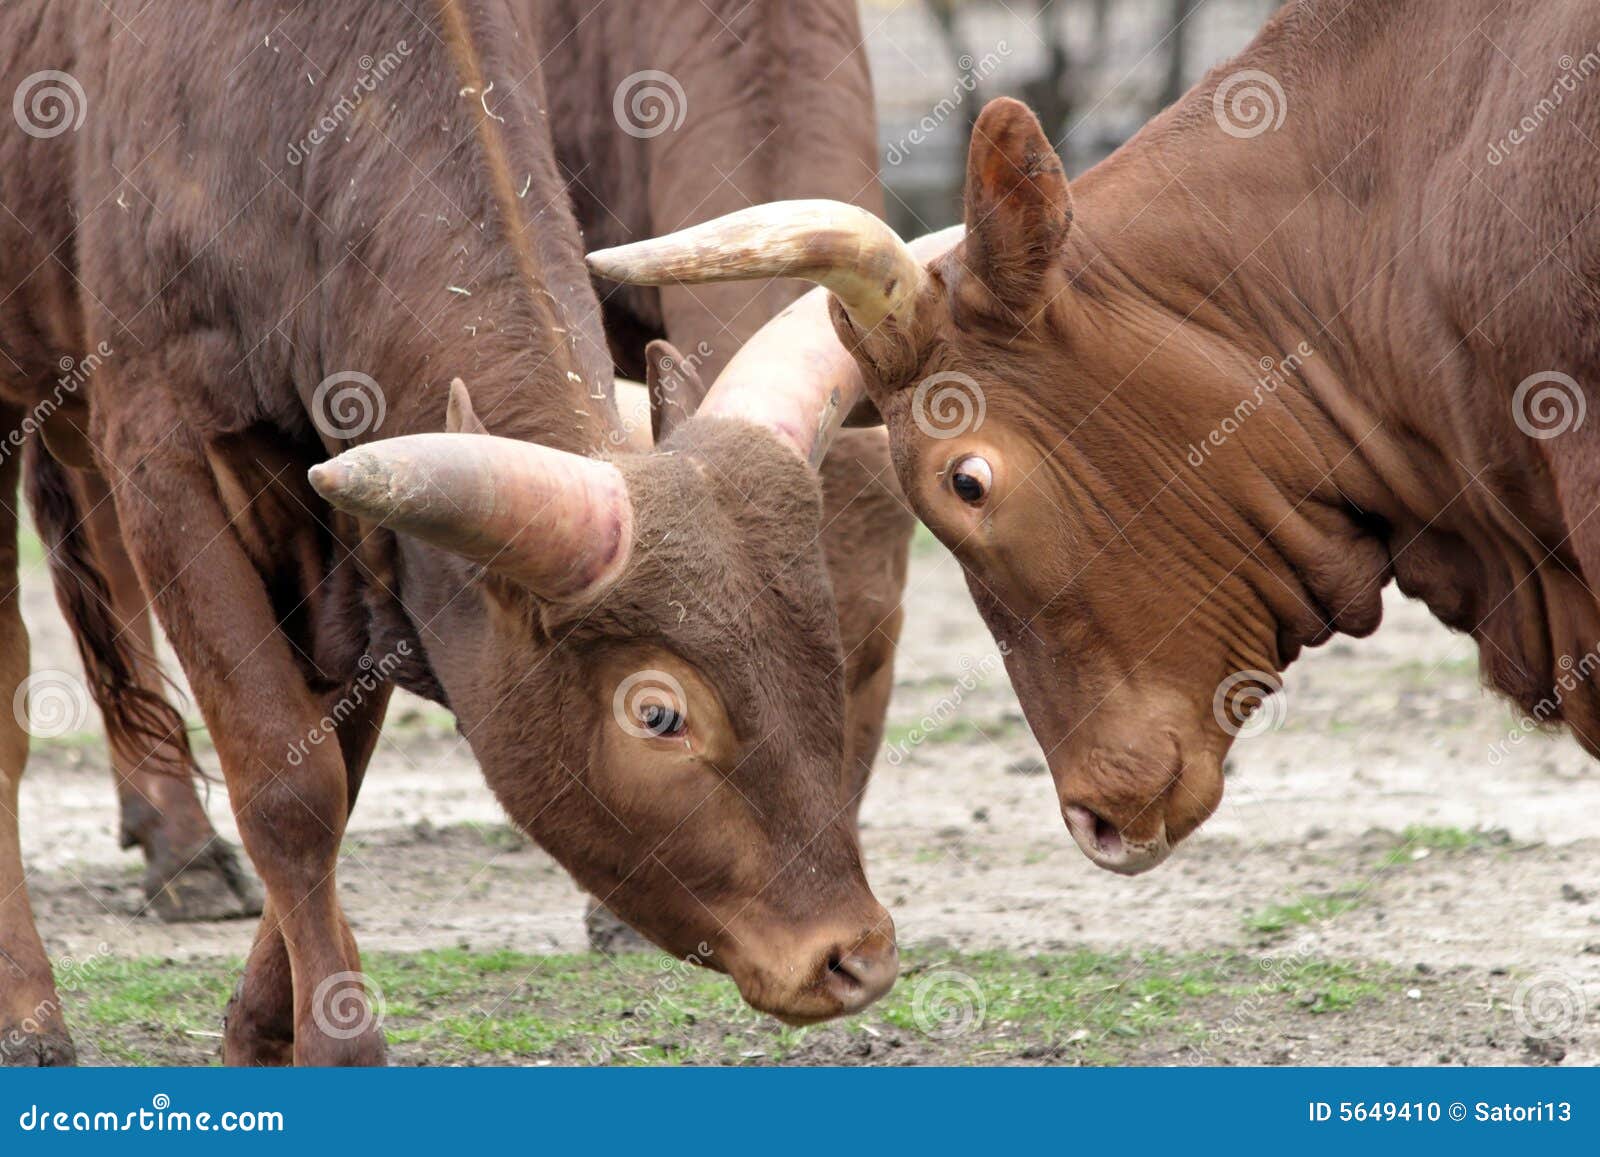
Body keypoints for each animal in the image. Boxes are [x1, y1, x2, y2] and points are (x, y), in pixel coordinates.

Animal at [0, 0, 895, 1066]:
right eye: (657, 712)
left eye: (843, 656)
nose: (855, 956)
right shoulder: (158, 449)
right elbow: (288, 786)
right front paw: (341, 1041)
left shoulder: (369, 537)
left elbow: (337, 766)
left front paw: (263, 1028)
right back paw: (37, 1003)